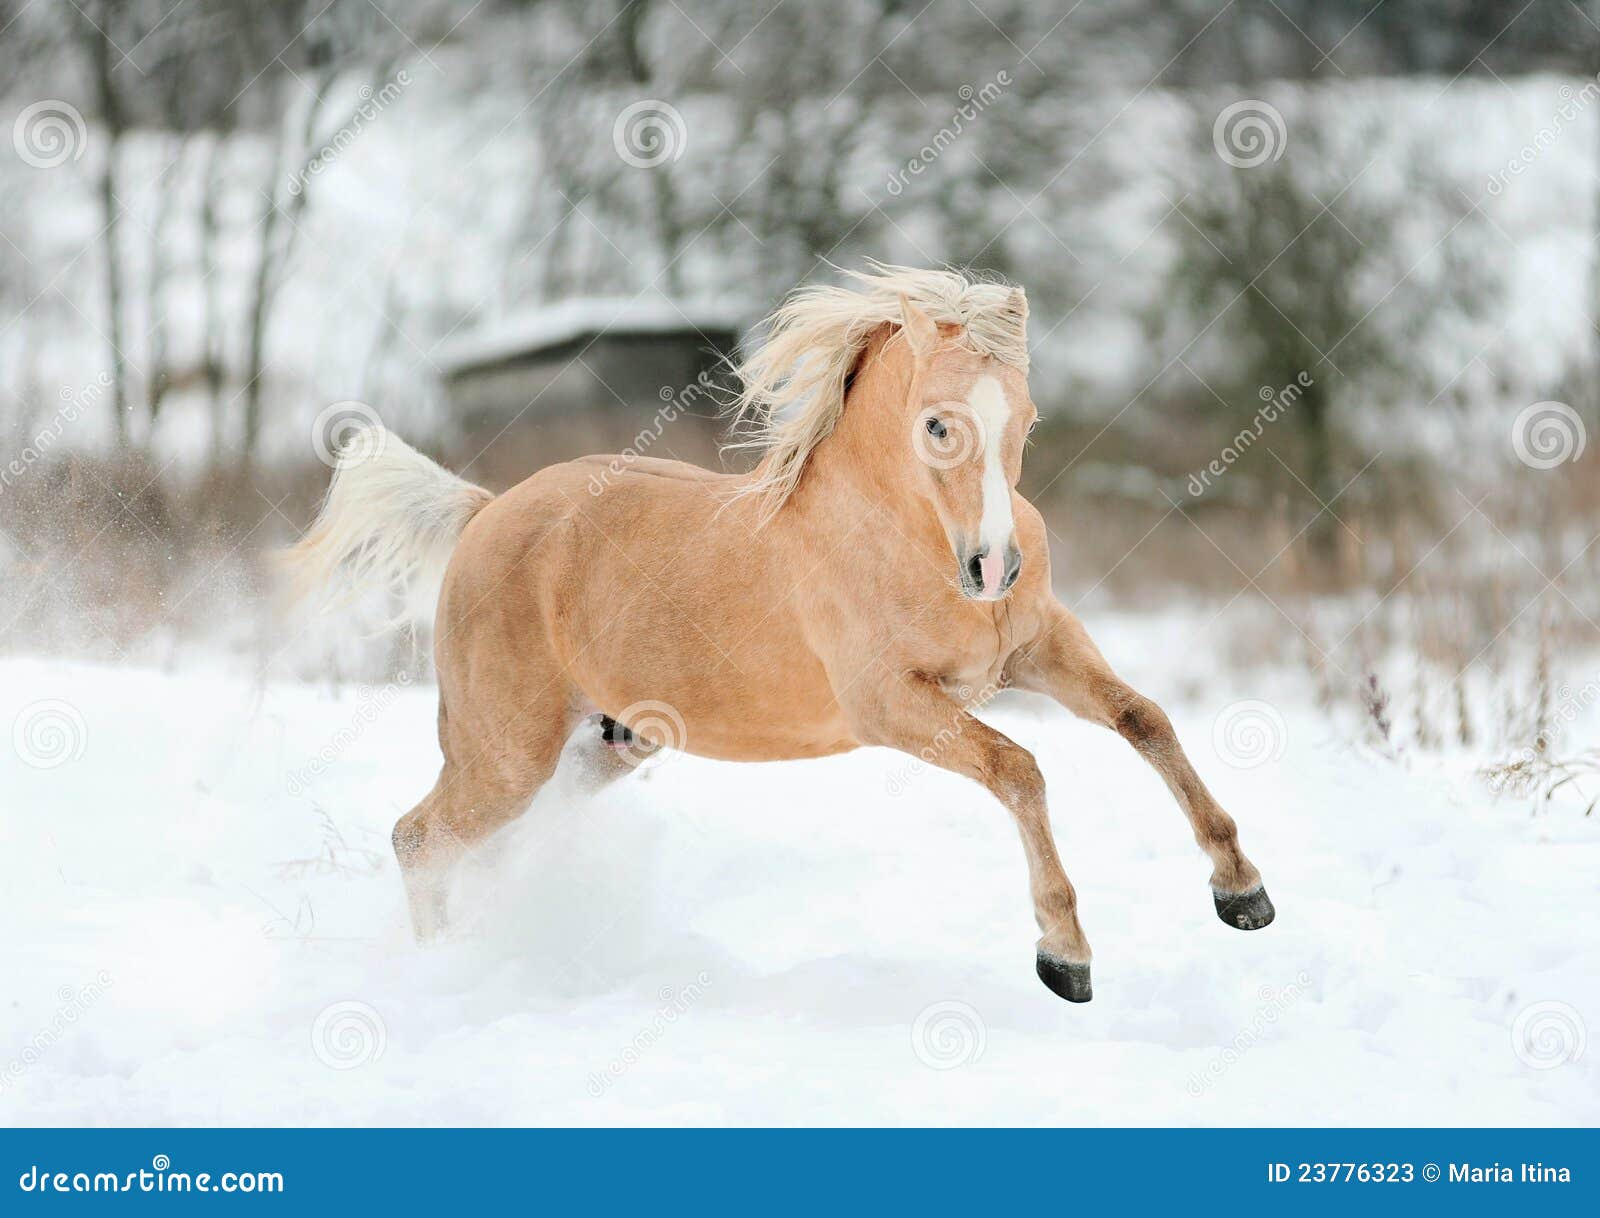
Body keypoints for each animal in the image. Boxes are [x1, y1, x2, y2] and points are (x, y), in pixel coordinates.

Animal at [282, 264, 1274, 1003]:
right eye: (938, 425)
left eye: (1025, 422)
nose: (994, 570)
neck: (897, 534)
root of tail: (486, 513)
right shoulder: (892, 707)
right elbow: (1020, 770)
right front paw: (1065, 957)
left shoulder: (1035, 651)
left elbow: (1145, 719)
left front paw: (1243, 894)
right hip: (503, 753)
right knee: (419, 838)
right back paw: (441, 969)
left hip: (609, 745)